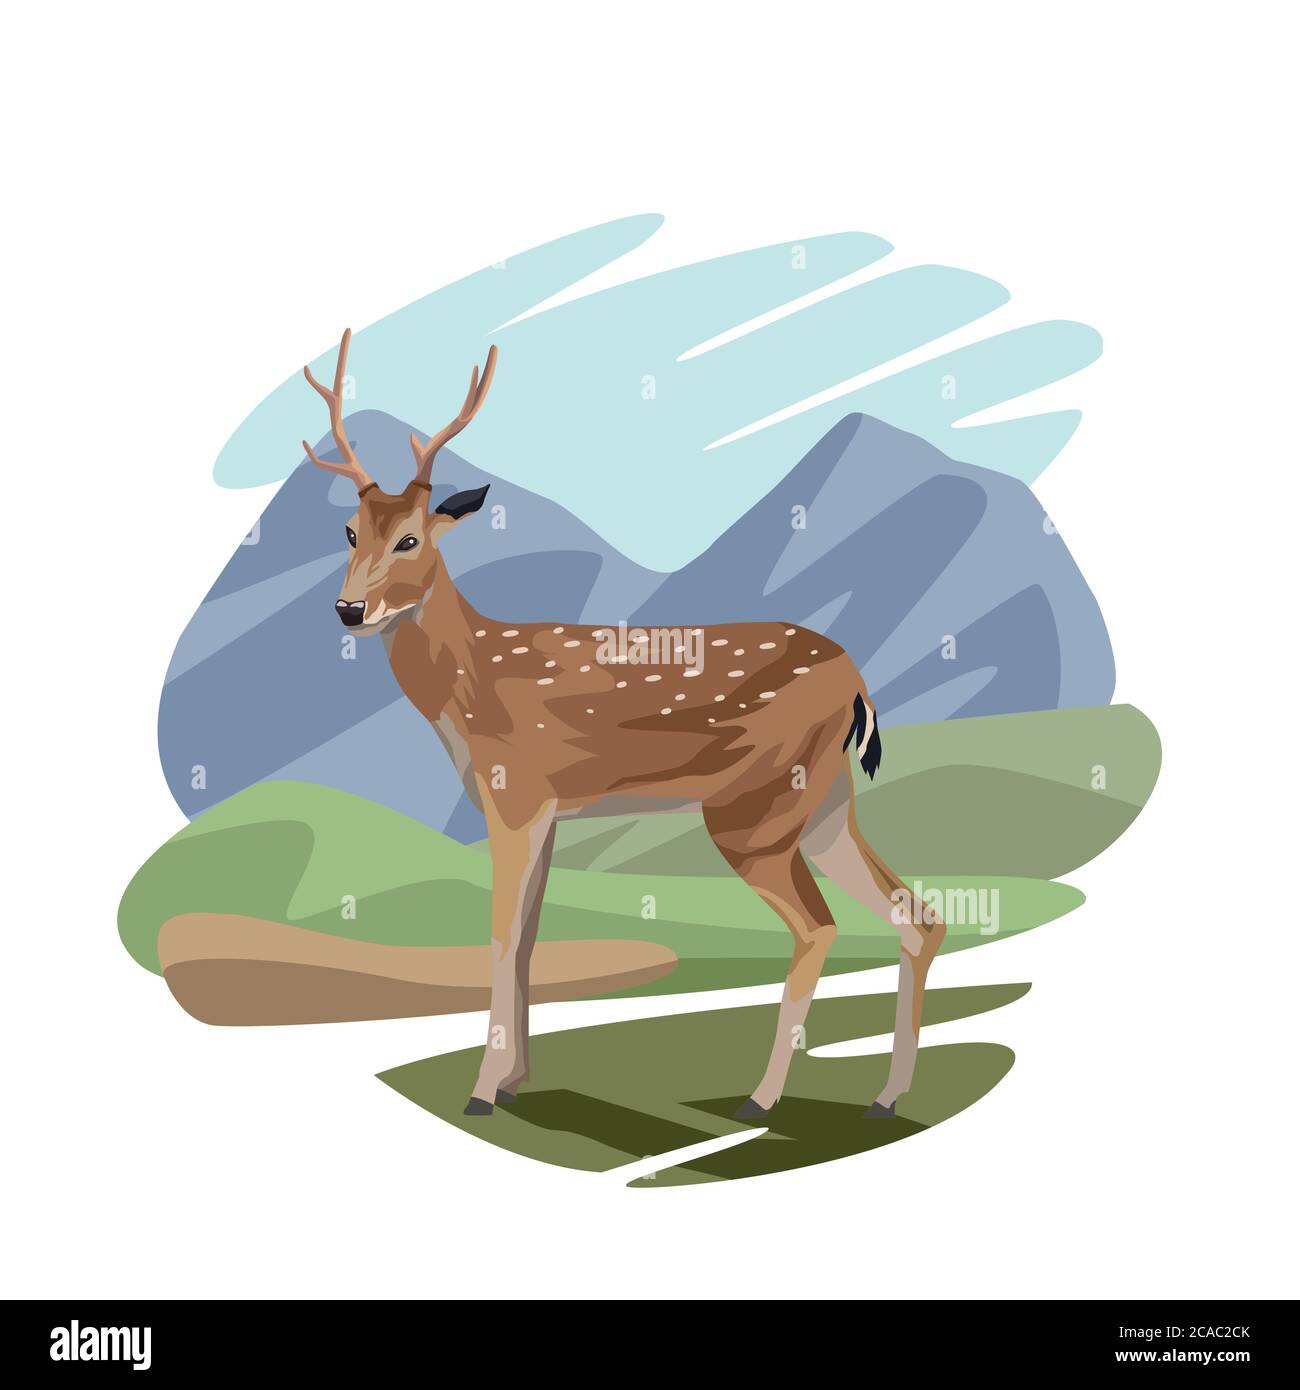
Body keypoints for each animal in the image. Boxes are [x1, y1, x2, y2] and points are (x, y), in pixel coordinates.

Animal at [301, 329, 947, 1120]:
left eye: (412, 541)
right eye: (349, 530)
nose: (348, 610)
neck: (470, 691)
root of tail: (858, 681)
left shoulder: (513, 794)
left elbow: (499, 936)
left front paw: (481, 1091)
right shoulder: (547, 810)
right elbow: (529, 940)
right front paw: (514, 1082)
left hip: (754, 808)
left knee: (818, 926)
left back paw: (761, 1099)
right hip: (824, 802)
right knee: (916, 914)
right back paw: (886, 1096)